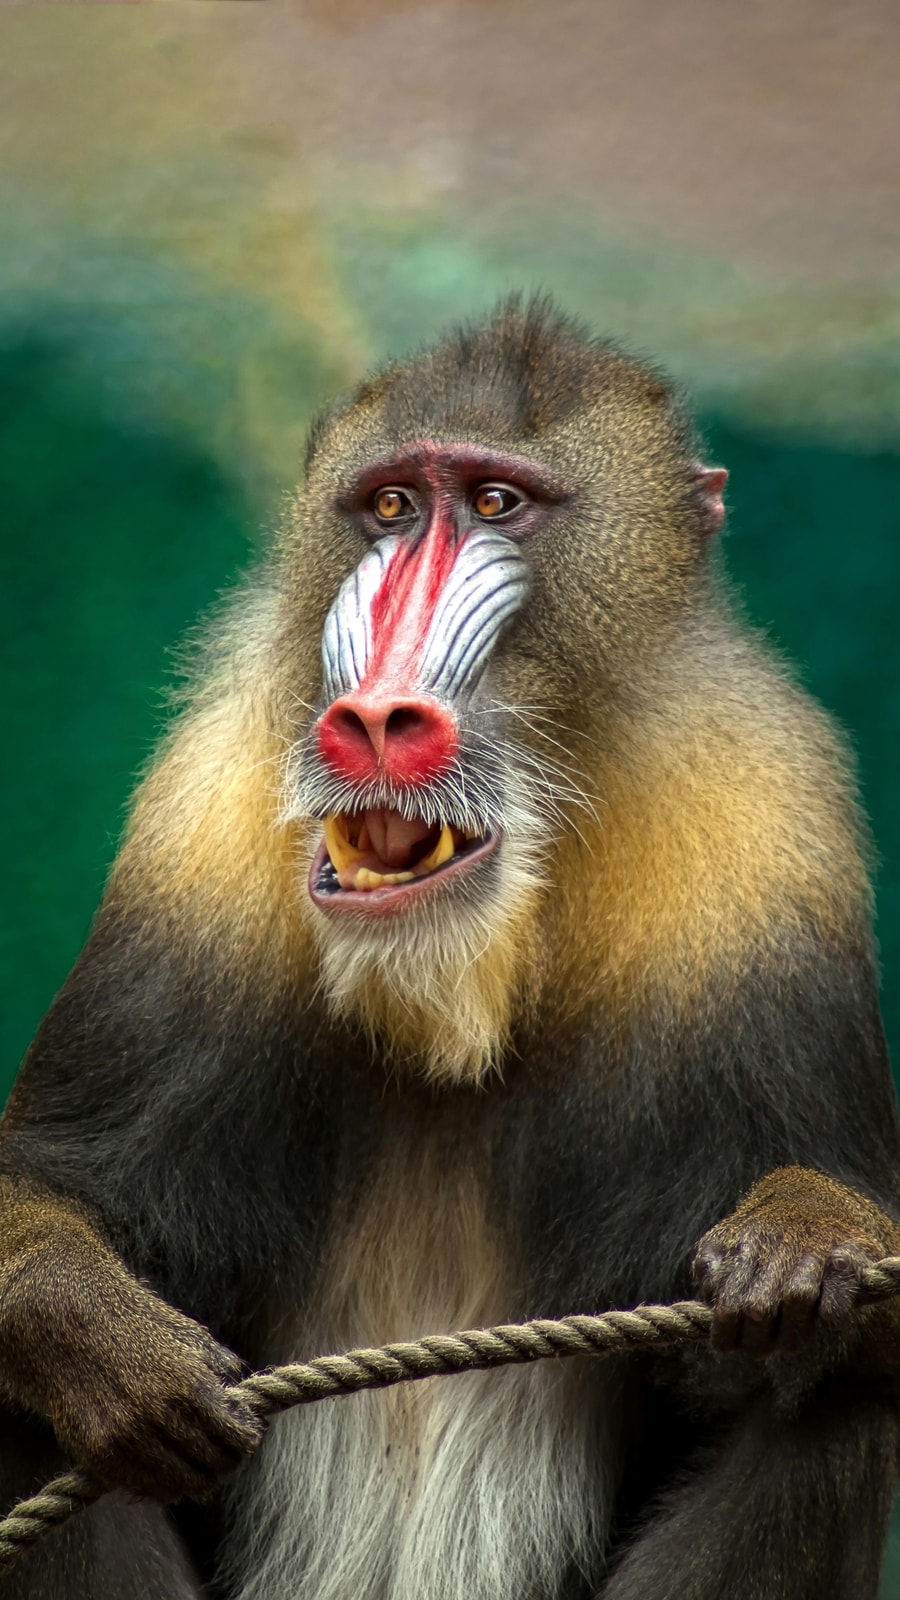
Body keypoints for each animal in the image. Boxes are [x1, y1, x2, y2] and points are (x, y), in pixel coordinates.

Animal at [0, 294, 899, 1600]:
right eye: (388, 508)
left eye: (496, 503)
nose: (377, 714)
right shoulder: (199, 835)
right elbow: (49, 1191)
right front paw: (97, 1338)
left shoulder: (769, 846)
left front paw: (807, 1240)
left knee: (825, 1395)